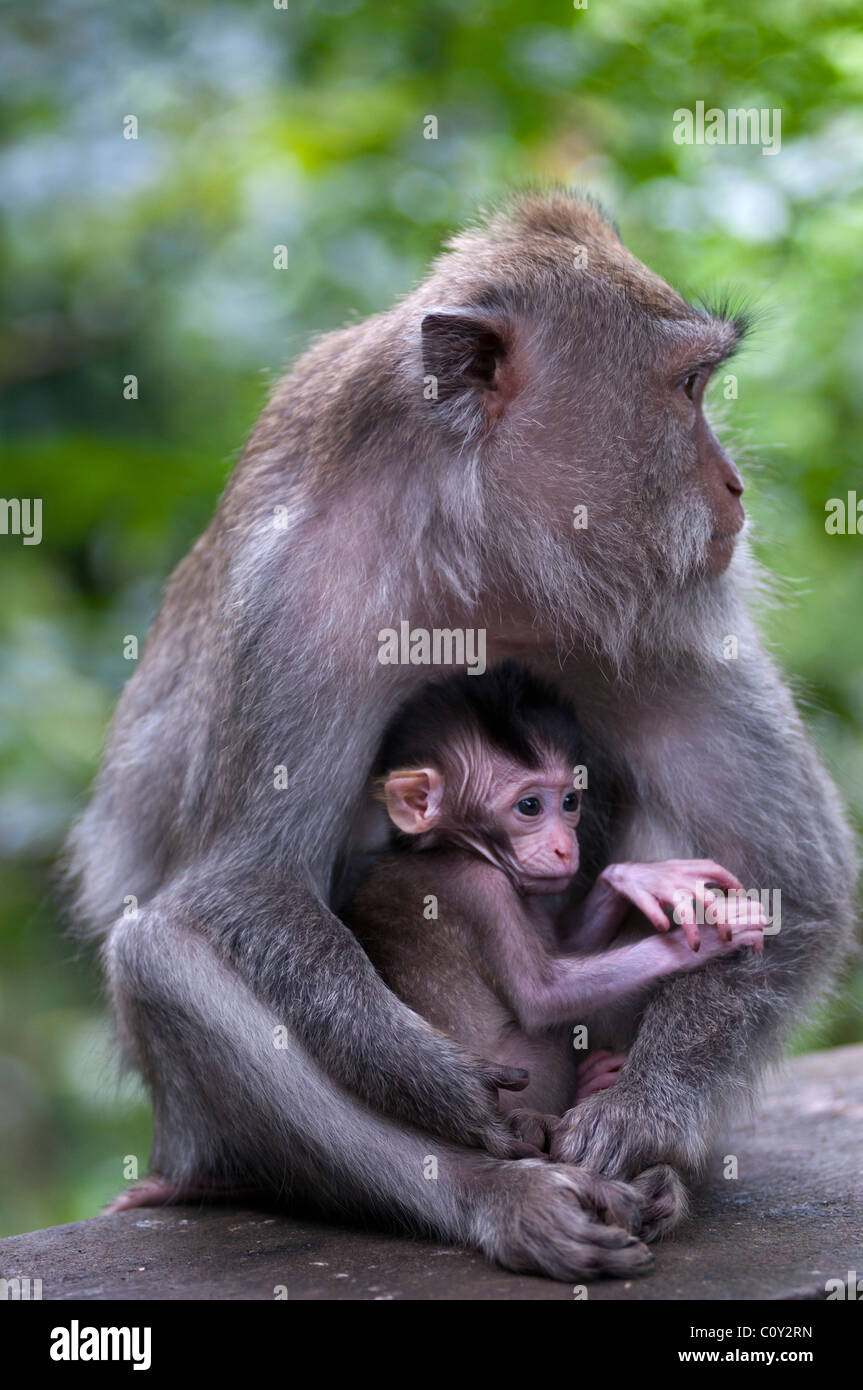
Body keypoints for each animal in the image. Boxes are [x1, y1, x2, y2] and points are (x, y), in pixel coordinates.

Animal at [346, 661, 765, 1154]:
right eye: (529, 806)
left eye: (570, 801)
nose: (567, 847)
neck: (452, 848)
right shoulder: (484, 891)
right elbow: (542, 998)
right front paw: (703, 940)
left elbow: (566, 944)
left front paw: (635, 878)